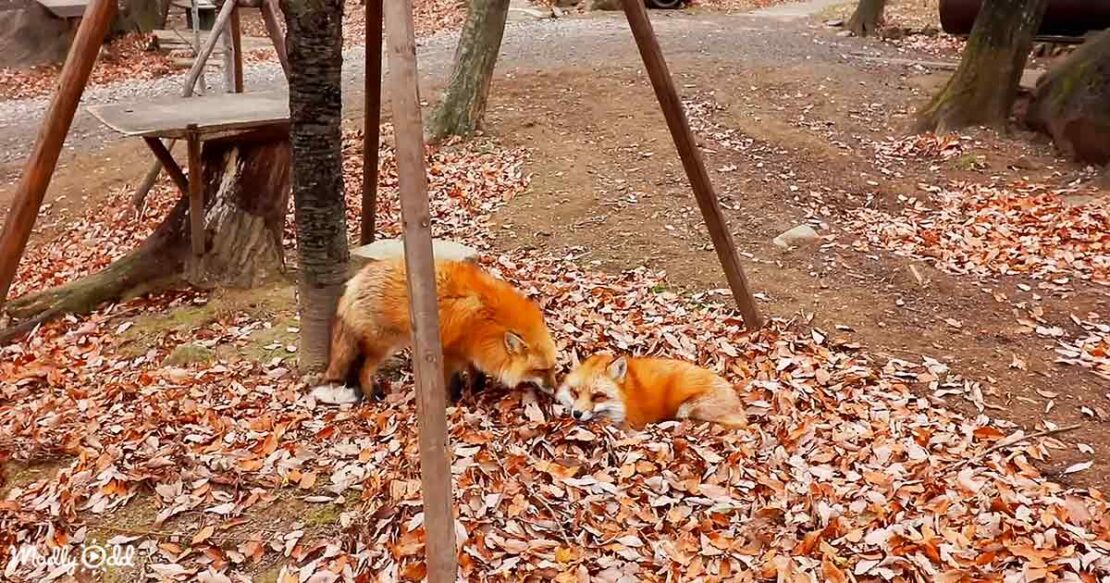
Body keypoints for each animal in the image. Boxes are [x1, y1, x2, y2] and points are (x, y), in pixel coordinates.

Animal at [310, 258, 559, 405]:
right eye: (539, 370)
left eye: (553, 367)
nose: (556, 390)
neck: (488, 319)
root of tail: (352, 284)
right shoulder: (449, 352)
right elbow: (451, 384)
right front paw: (452, 404)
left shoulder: (472, 349)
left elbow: (476, 374)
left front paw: (476, 391)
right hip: (384, 346)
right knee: (363, 371)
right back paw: (373, 397)